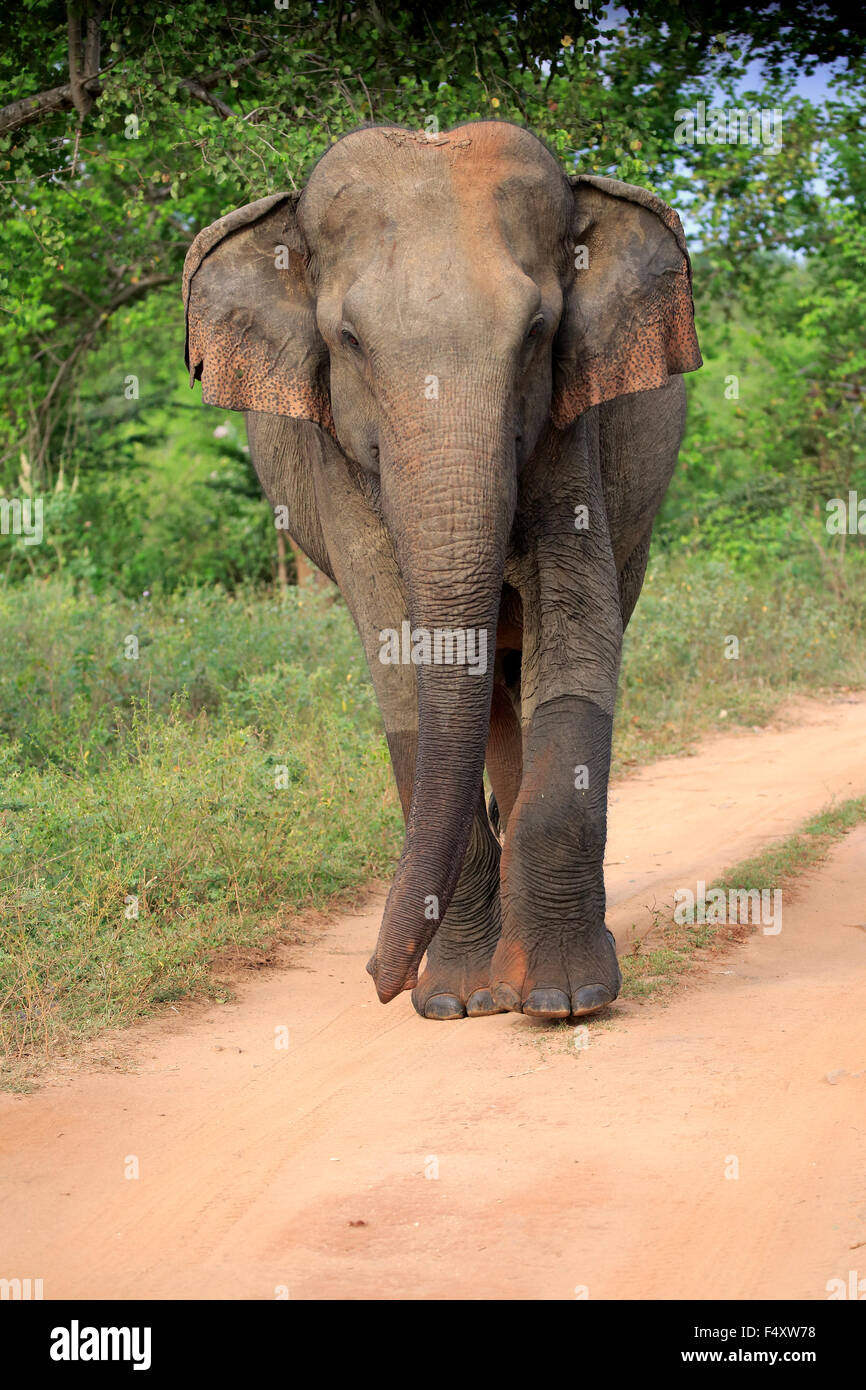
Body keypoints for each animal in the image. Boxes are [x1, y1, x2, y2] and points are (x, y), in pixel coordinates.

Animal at [182, 121, 701, 1021]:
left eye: (538, 331)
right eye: (348, 341)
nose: (376, 981)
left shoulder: (571, 424)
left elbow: (579, 630)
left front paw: (565, 998)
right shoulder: (335, 453)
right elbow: (399, 657)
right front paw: (454, 1002)